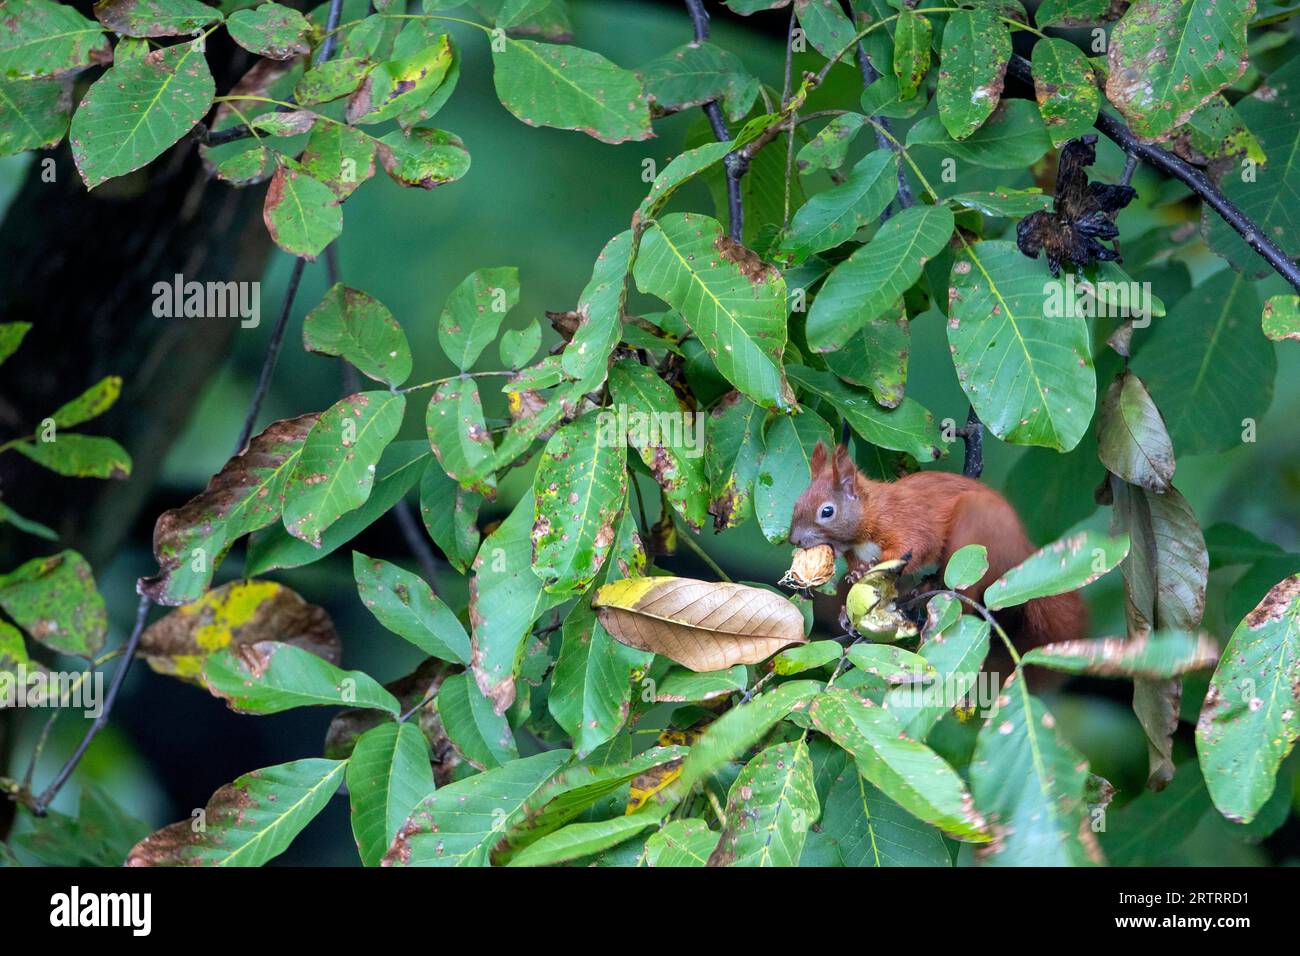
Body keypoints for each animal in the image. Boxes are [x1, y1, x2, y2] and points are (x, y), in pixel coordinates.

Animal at [789, 442, 1087, 660]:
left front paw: (869, 571)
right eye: (796, 503)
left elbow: (916, 547)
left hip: (977, 526)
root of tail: (1020, 553)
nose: (794, 539)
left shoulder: (906, 523)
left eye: (827, 511)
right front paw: (848, 604)